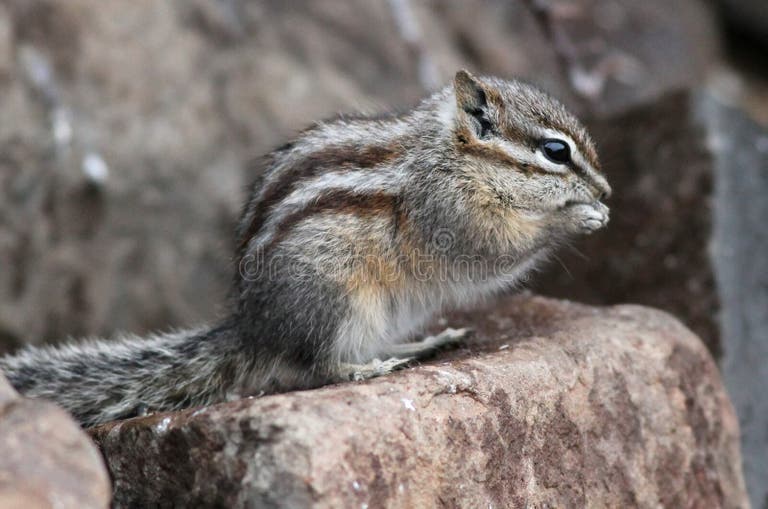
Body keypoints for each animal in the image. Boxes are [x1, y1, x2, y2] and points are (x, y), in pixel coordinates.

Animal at [0, 70, 610, 427]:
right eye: (556, 151)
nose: (606, 191)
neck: (450, 156)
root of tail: (253, 327)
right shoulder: (448, 215)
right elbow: (493, 252)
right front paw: (575, 217)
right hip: (338, 299)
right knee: (314, 369)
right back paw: (373, 368)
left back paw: (427, 343)